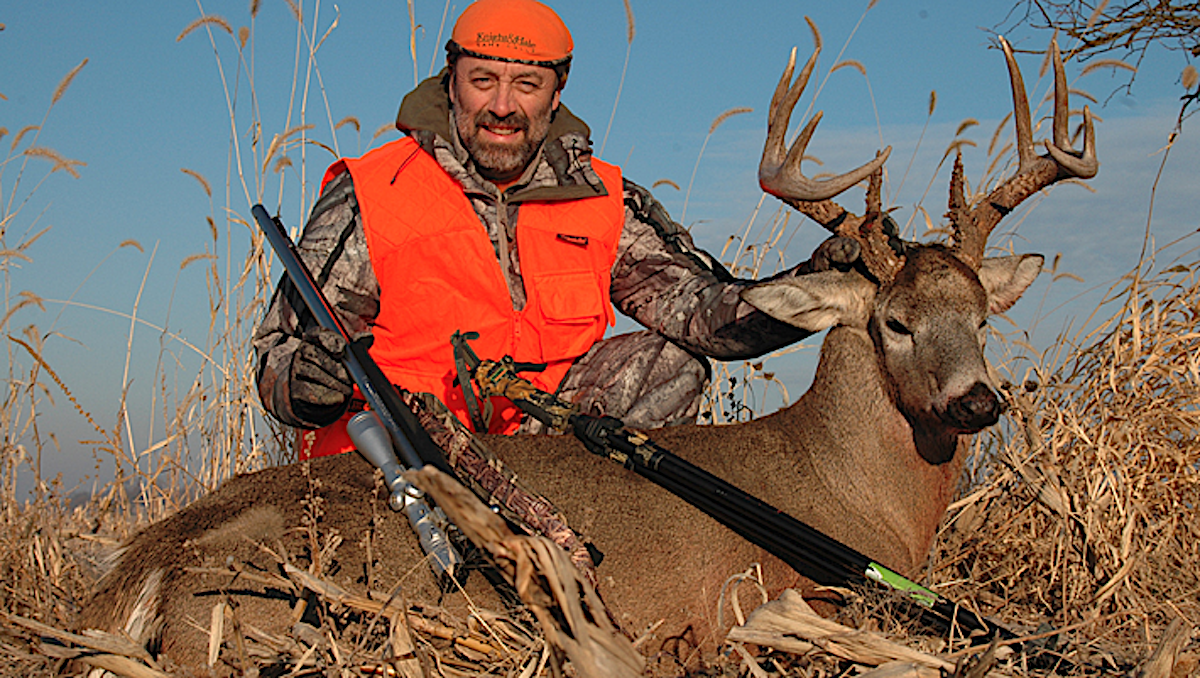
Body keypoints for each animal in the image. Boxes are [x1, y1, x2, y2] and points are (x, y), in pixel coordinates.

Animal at [76, 35, 1095, 672]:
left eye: (981, 316)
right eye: (894, 323)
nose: (977, 401)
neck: (853, 497)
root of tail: (149, 560)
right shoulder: (751, 603)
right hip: (266, 621)